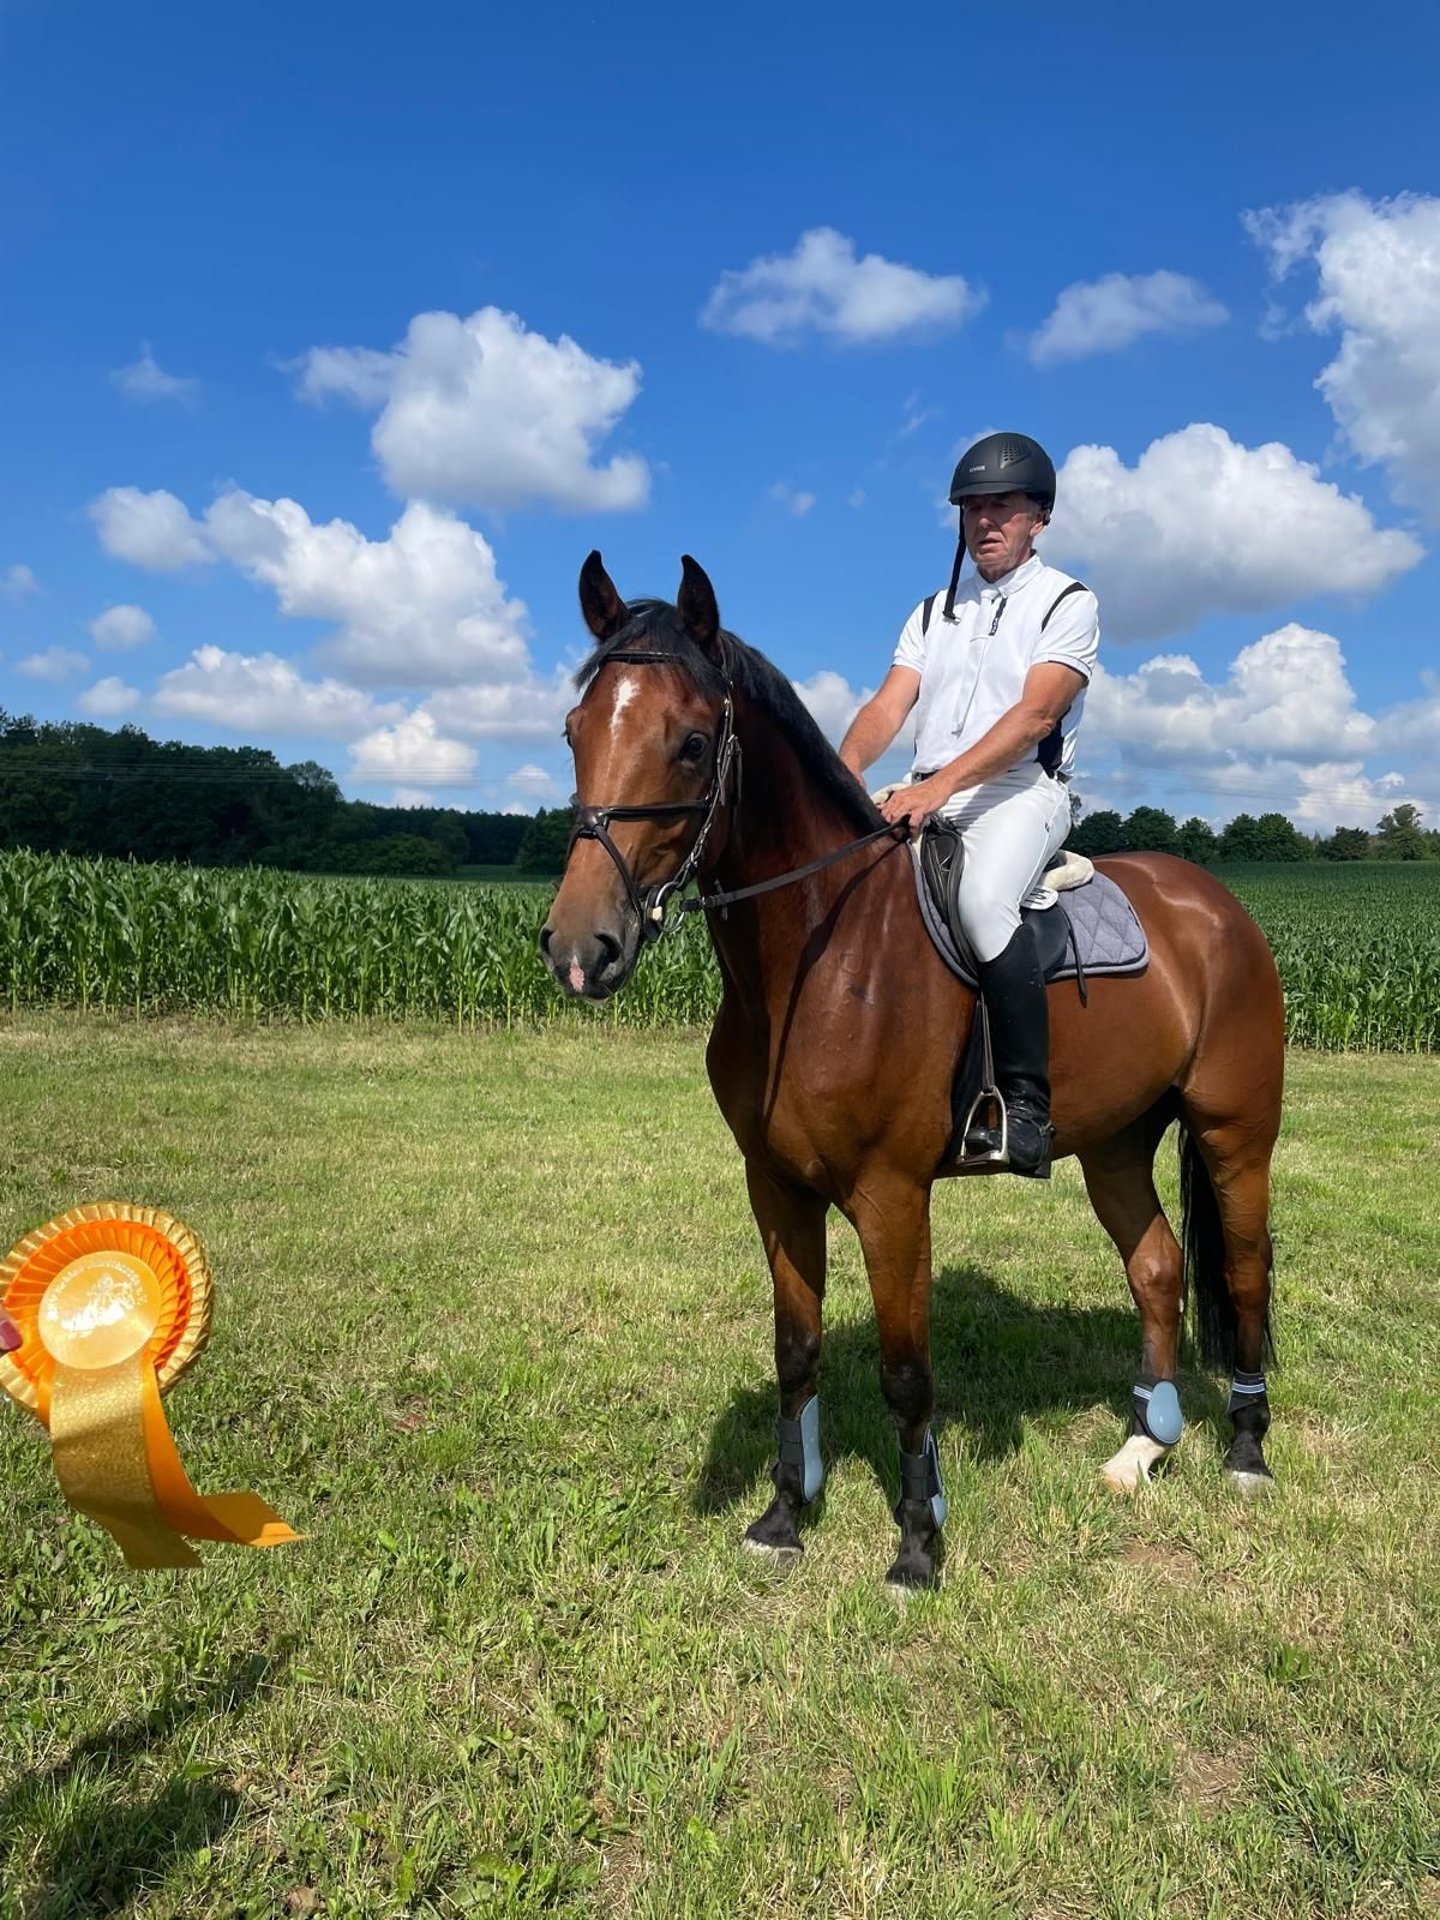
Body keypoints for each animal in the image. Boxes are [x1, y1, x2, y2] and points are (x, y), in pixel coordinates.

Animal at [541, 552, 1284, 1589]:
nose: (581, 950)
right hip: (1115, 1146)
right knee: (1158, 1268)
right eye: (575, 731)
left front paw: (917, 1545)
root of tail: (1216, 905)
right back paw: (1143, 1449)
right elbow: (797, 1350)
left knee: (1245, 1272)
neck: (819, 955)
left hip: (1234, 1134)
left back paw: (1247, 1452)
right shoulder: (776, 1187)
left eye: (691, 744)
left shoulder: (892, 1198)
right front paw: (782, 1518)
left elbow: (904, 1373)